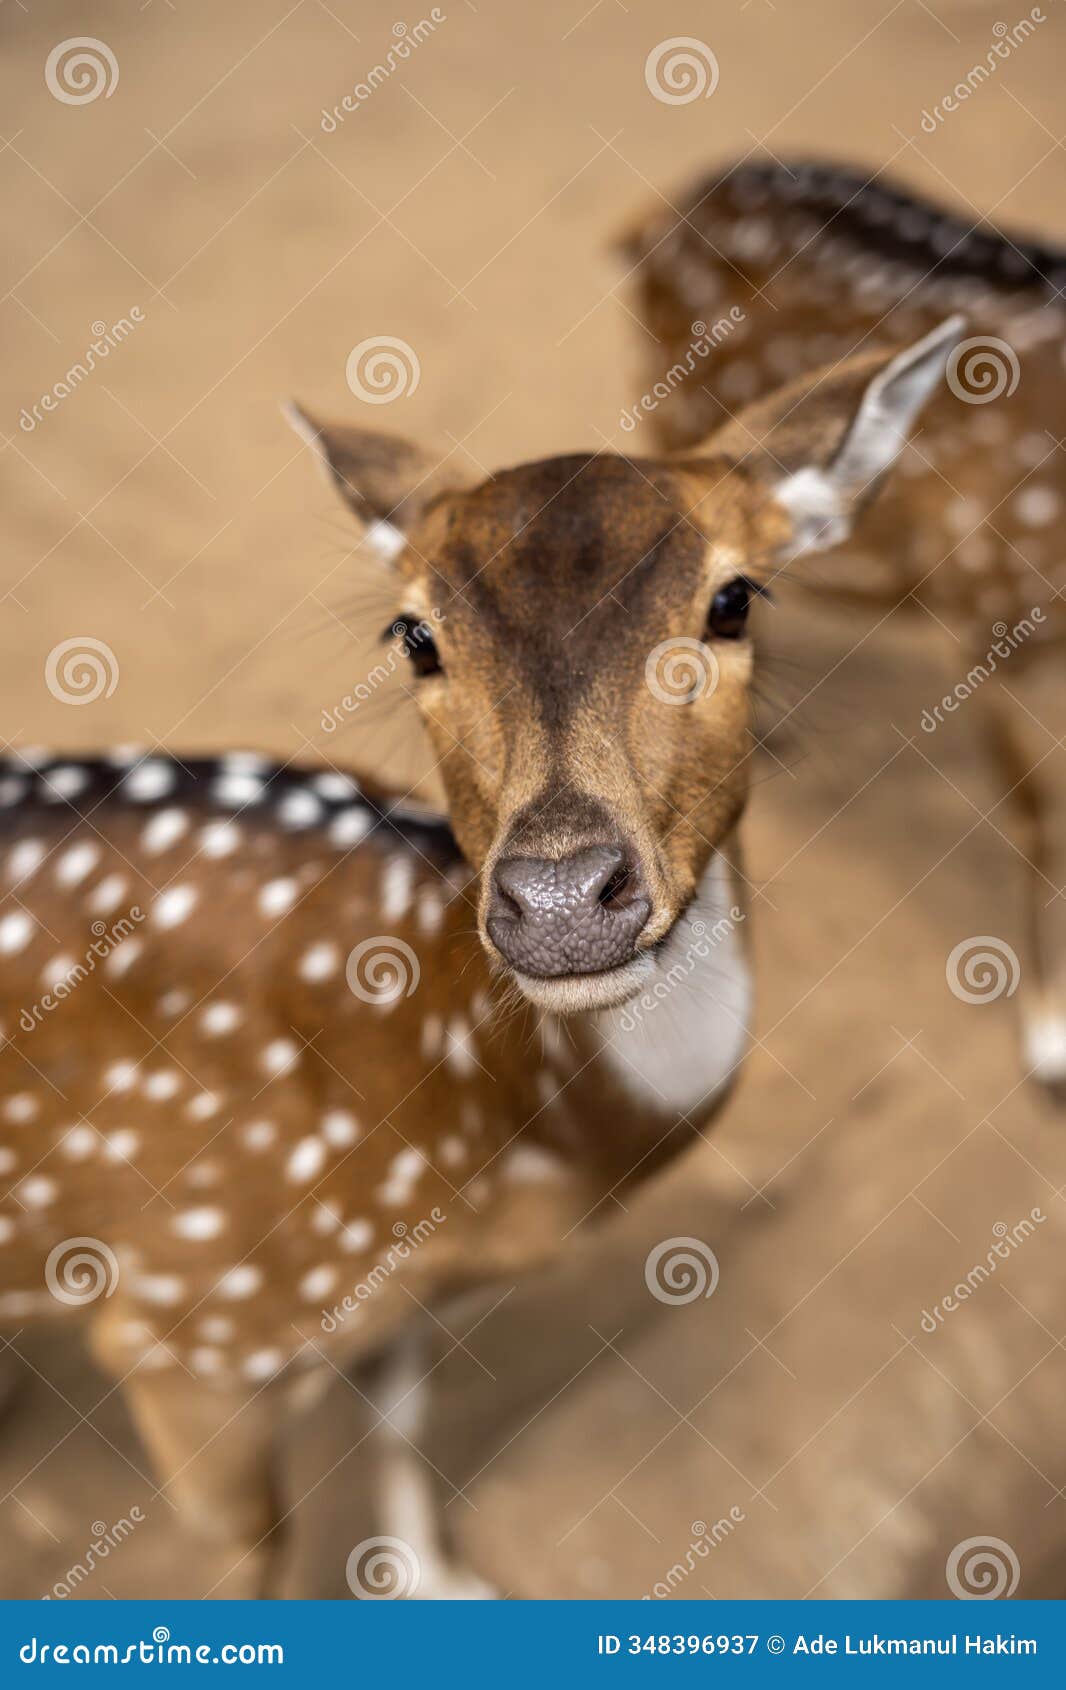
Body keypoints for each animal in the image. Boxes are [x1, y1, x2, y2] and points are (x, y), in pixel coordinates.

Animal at [0, 314, 960, 1598]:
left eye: (734, 597)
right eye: (414, 633)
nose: (560, 897)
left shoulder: (394, 1296)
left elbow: (400, 1408)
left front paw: (437, 1578)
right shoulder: (186, 1316)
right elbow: (255, 1555)